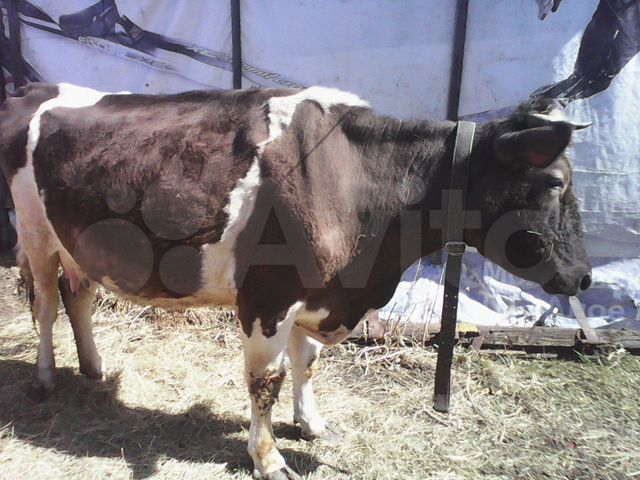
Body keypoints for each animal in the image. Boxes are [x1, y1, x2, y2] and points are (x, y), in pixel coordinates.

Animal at [0, 82, 591, 479]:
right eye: (554, 182)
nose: (584, 277)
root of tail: (37, 89)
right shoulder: (269, 296)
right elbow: (266, 381)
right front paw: (267, 457)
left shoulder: (318, 292)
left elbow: (307, 365)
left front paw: (311, 423)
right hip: (33, 230)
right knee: (46, 303)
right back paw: (46, 378)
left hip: (76, 240)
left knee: (79, 296)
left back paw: (95, 369)